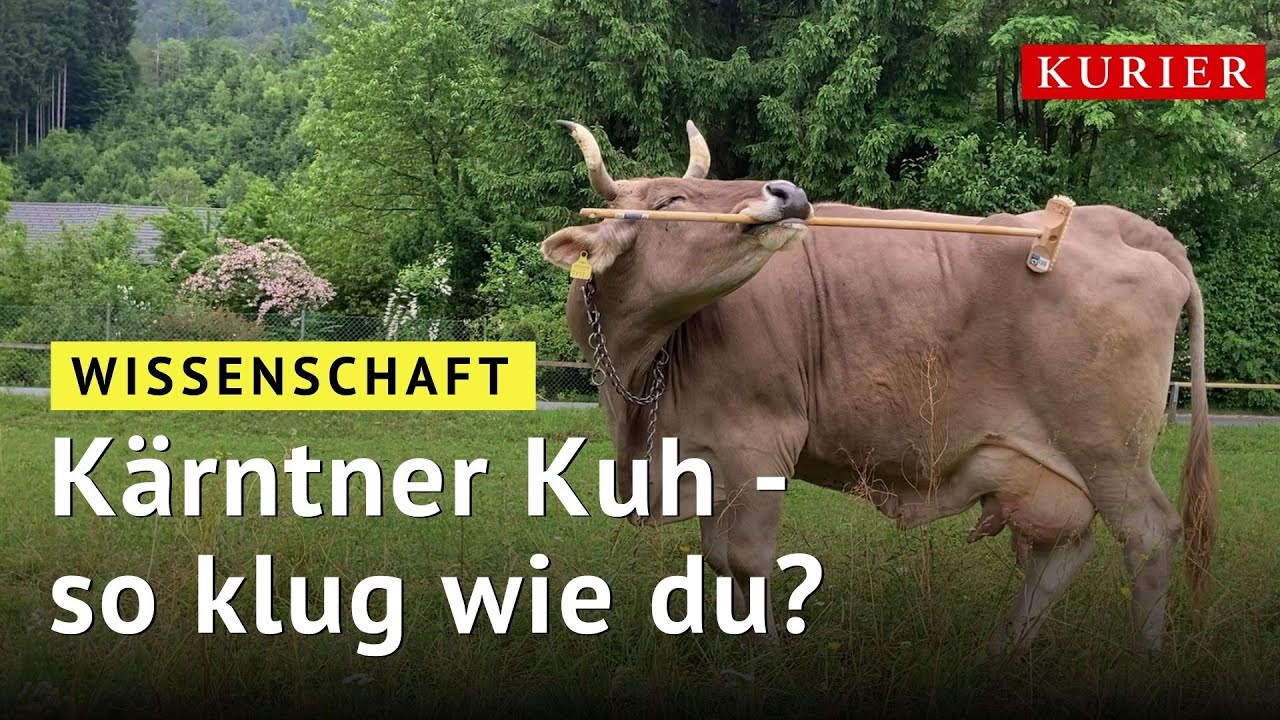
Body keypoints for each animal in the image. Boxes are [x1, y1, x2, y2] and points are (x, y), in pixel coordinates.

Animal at [539, 119, 1219, 655]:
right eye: (673, 198)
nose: (788, 192)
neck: (641, 377)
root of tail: (1121, 224)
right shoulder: (705, 458)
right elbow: (717, 562)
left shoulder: (759, 445)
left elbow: (748, 563)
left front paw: (764, 659)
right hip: (1050, 465)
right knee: (1065, 551)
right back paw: (999, 653)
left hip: (1109, 452)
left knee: (1149, 536)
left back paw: (1143, 661)